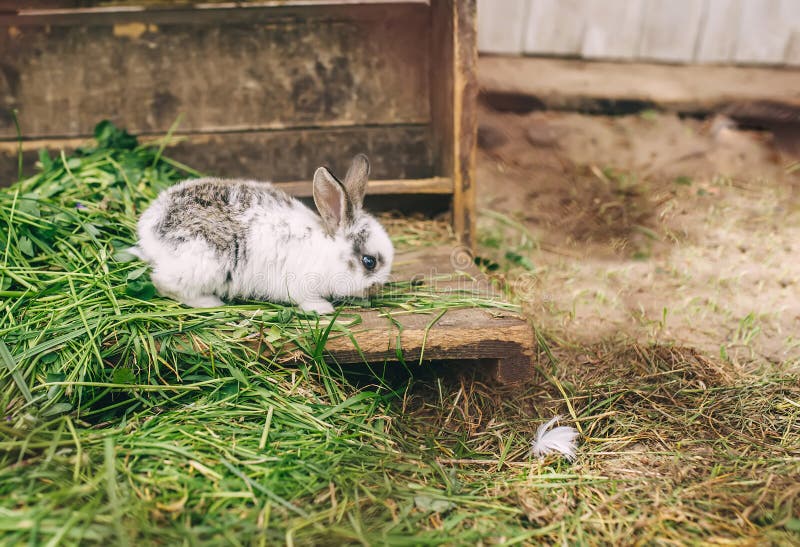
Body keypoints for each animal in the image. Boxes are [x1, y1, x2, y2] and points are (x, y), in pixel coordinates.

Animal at [130, 154, 394, 314]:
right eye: (369, 262)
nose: (377, 288)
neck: (326, 249)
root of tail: (150, 227)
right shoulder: (298, 283)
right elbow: (306, 300)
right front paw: (323, 309)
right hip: (206, 263)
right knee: (164, 283)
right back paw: (210, 302)